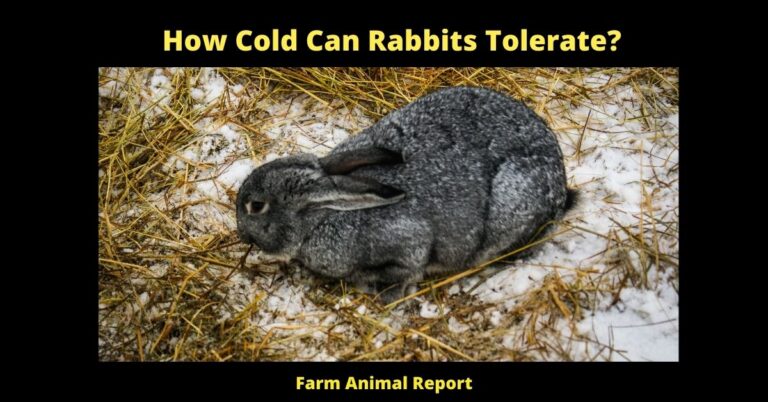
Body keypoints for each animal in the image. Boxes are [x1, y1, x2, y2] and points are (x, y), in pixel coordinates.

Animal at [236, 86, 575, 303]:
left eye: (256, 206)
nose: (241, 233)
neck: (325, 213)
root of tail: (560, 182)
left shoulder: (407, 243)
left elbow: (404, 270)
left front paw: (388, 297)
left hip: (510, 207)